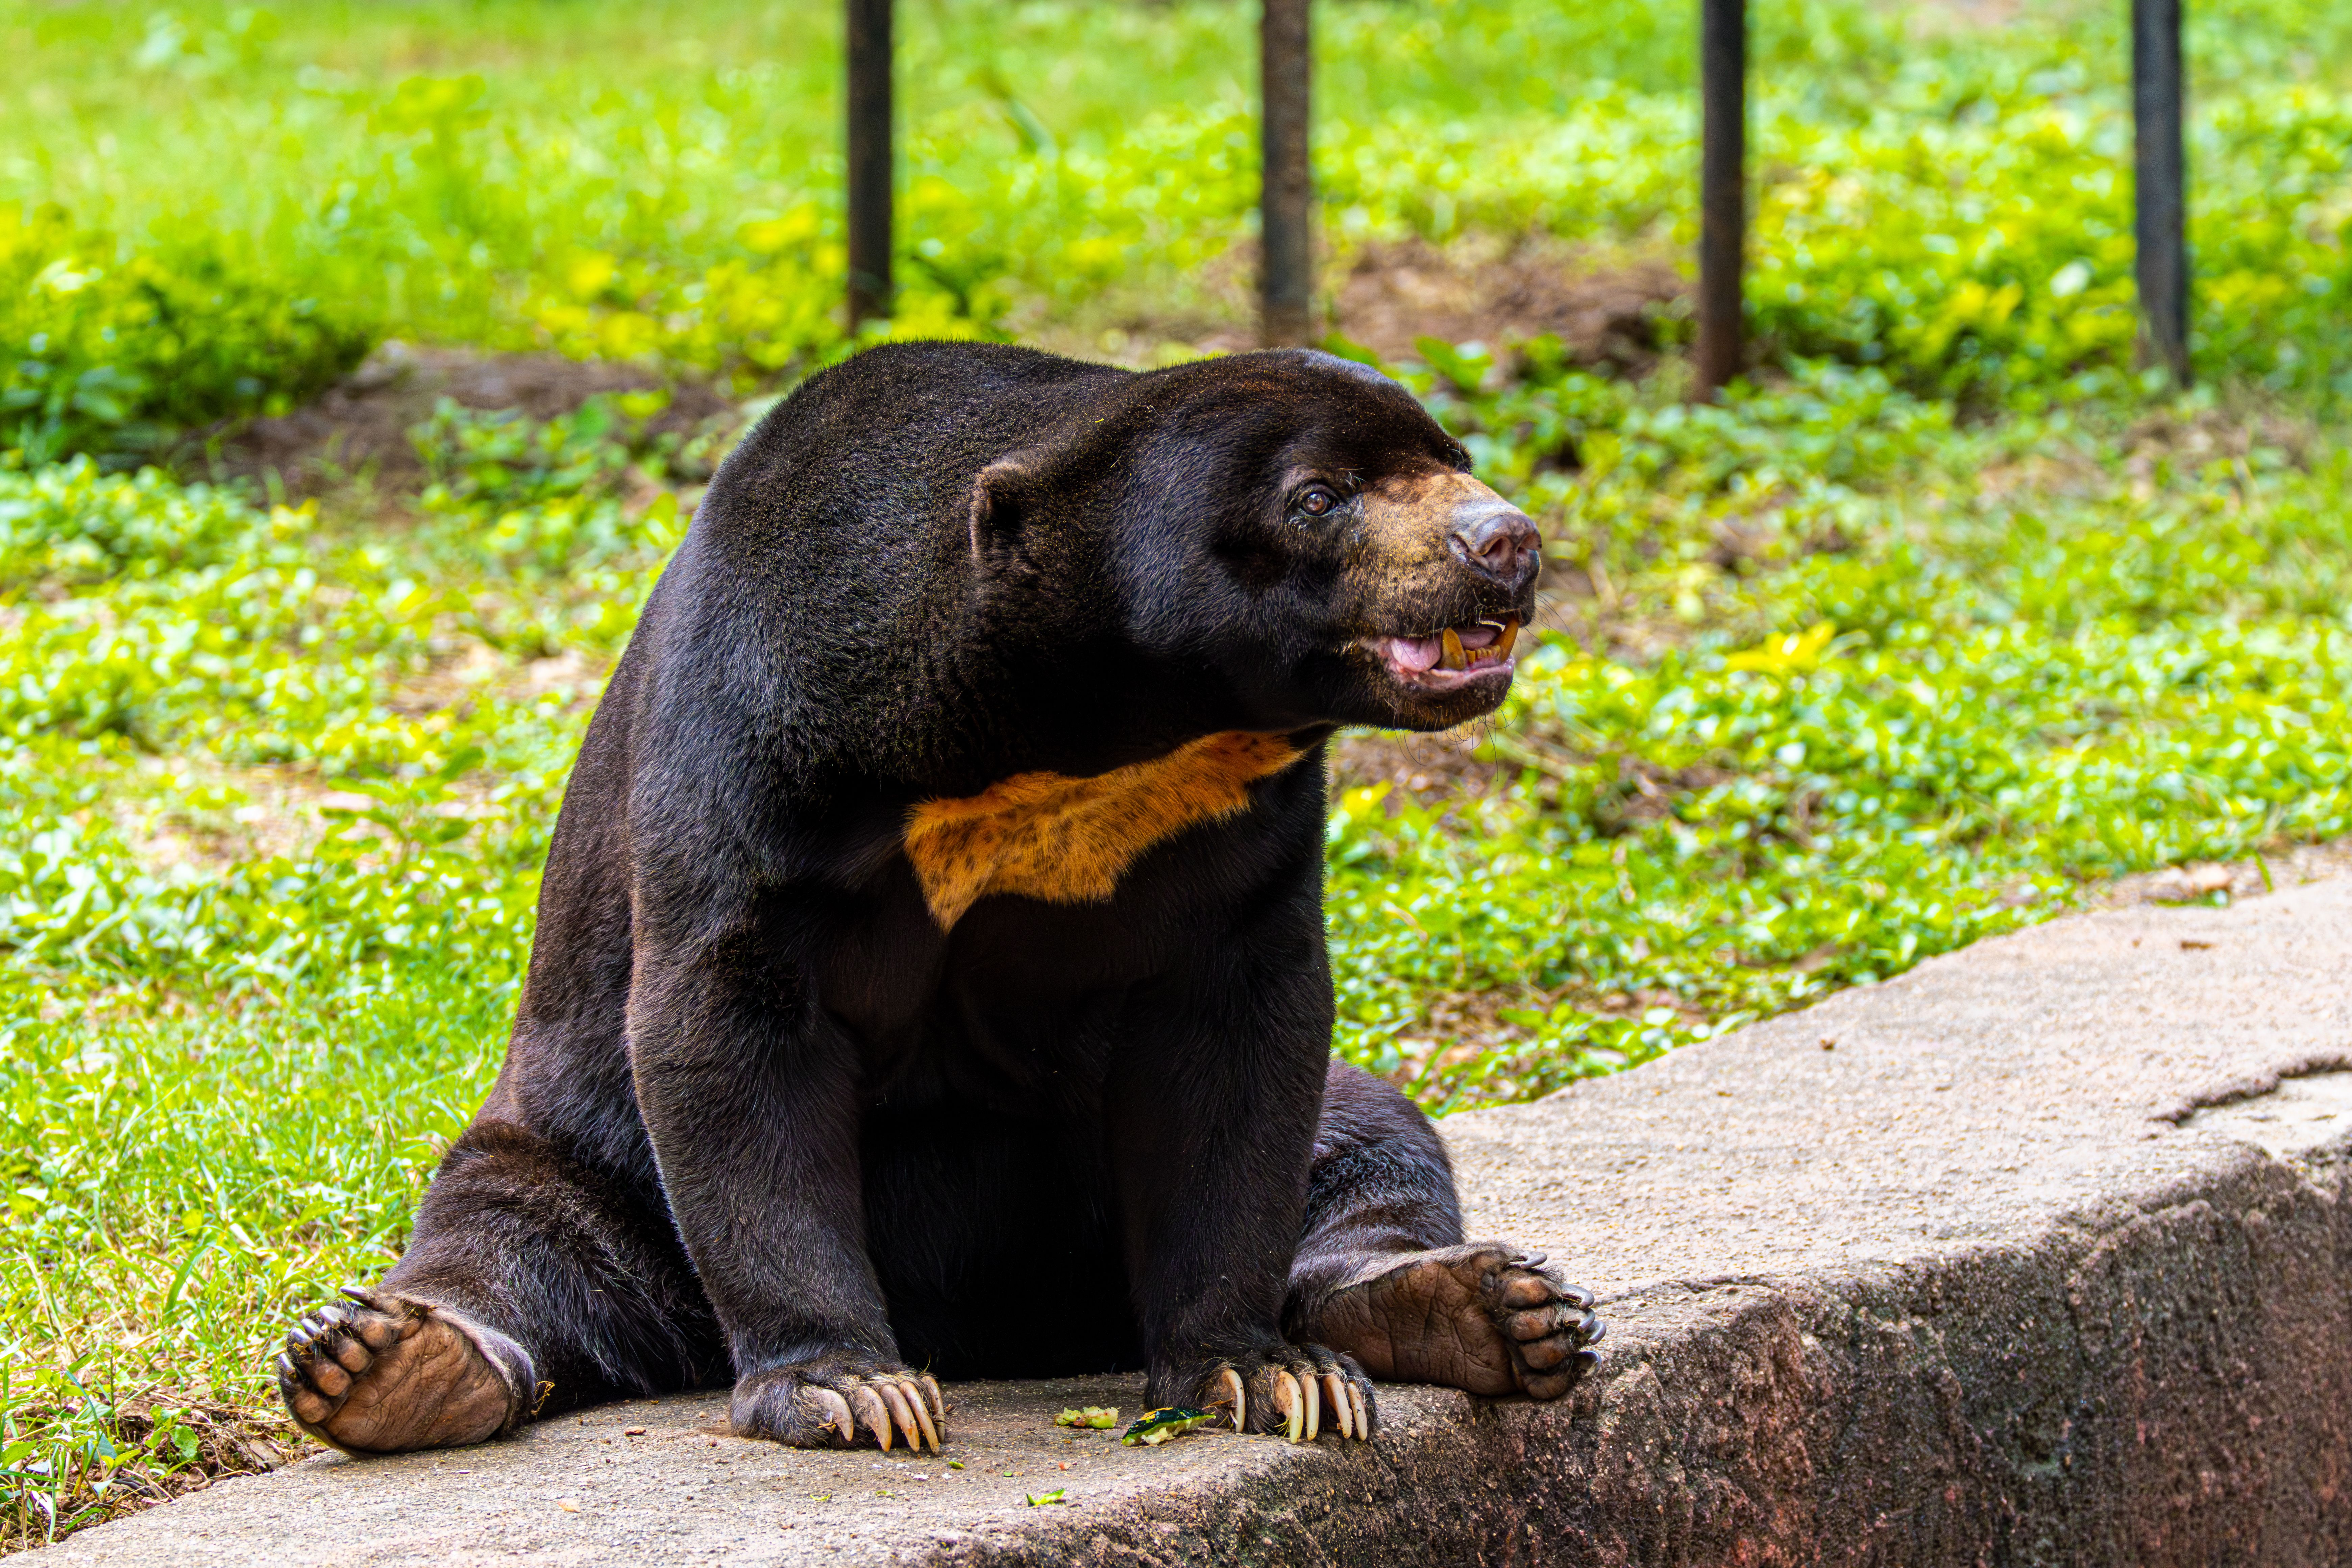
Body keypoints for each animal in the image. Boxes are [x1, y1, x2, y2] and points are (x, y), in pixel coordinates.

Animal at [274, 342, 1603, 1456]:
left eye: (1452, 458)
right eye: (1317, 498)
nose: (1506, 541)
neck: (1089, 730)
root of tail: (1007, 1329)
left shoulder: (1239, 817)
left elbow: (1242, 1044)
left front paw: (1261, 1373)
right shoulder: (761, 733)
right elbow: (726, 1012)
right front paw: (852, 1389)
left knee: (1374, 1139)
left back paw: (1491, 1306)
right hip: (589, 1156)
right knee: (508, 1231)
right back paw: (386, 1361)